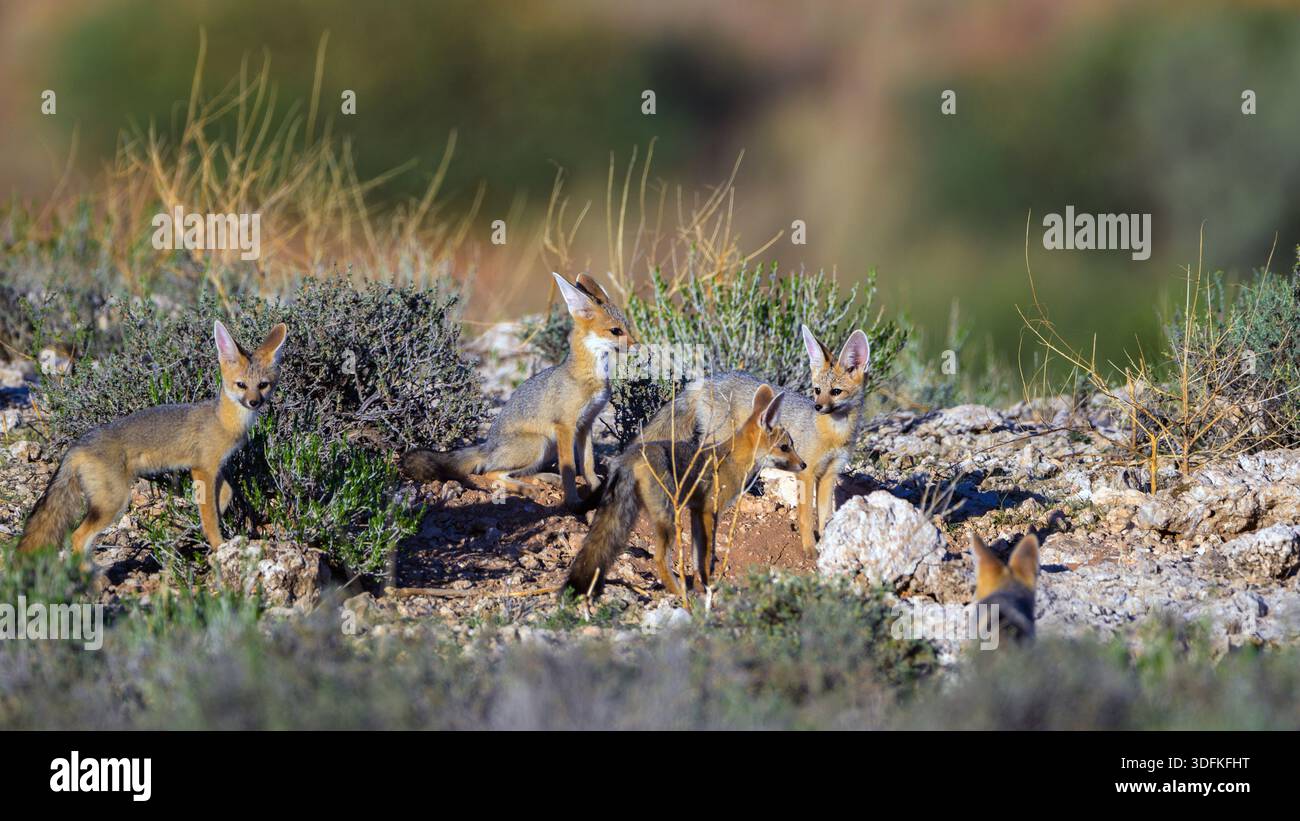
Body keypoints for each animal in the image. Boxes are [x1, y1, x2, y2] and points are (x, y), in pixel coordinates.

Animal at [16, 320, 287, 556]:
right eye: (241, 385)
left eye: (263, 385)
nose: (254, 402)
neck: (222, 419)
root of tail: (78, 444)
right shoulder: (203, 469)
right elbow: (209, 516)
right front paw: (218, 545)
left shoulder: (216, 468)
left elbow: (224, 497)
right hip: (115, 501)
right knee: (77, 537)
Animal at [401, 272, 634, 508]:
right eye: (616, 331)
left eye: (628, 327)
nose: (636, 345)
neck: (590, 375)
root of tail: (487, 446)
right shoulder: (566, 426)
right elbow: (570, 469)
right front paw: (573, 501)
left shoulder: (586, 424)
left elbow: (587, 464)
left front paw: (596, 488)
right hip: (540, 443)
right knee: (491, 473)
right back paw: (526, 488)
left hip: (547, 447)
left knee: (518, 472)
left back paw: (545, 479)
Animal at [563, 383, 803, 599]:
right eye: (785, 447)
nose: (804, 465)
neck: (731, 460)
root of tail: (630, 455)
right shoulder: (709, 511)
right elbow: (706, 554)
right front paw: (706, 585)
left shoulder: (696, 511)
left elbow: (697, 556)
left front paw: (700, 584)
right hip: (668, 517)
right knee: (659, 557)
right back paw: (679, 592)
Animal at [640, 324, 870, 556]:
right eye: (817, 390)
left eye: (836, 392)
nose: (818, 406)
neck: (835, 433)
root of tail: (707, 379)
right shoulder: (806, 472)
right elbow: (806, 517)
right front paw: (810, 548)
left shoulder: (829, 474)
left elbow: (826, 516)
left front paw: (826, 542)